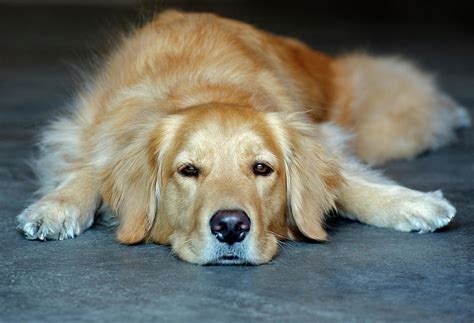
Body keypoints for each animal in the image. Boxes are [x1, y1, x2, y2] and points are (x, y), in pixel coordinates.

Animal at [16, 10, 468, 266]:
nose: (231, 227)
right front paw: (55, 208)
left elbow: (349, 182)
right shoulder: (85, 131)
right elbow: (87, 170)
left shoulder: (320, 135)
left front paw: (412, 203)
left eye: (262, 168)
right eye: (188, 171)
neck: (205, 89)